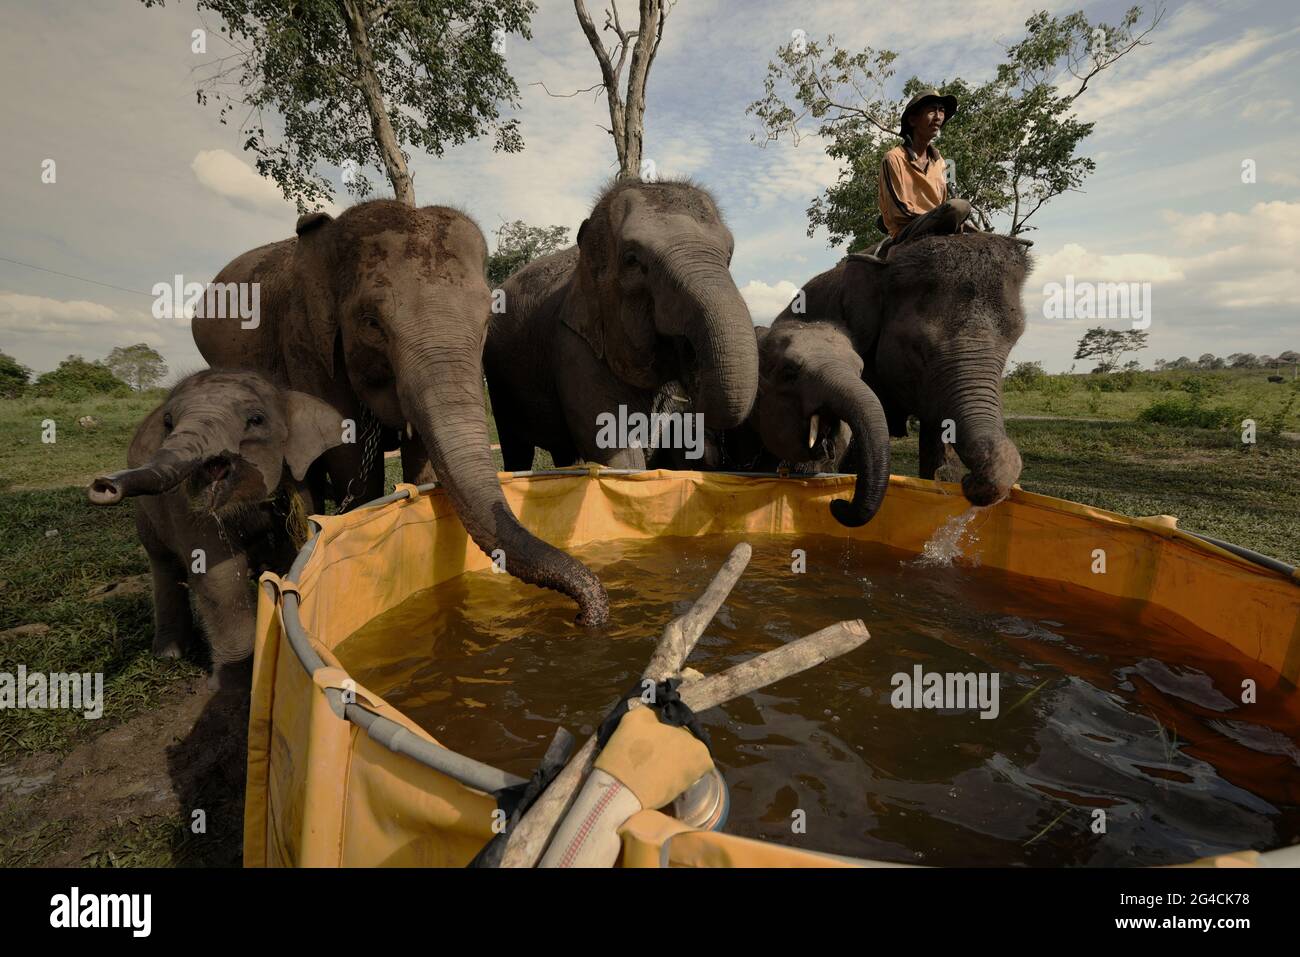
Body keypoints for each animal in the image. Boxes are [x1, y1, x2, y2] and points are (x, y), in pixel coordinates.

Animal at [87, 370, 346, 688]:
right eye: (168, 422)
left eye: (256, 420)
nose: (103, 485)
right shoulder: (185, 505)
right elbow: (218, 574)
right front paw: (235, 681)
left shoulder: (298, 483)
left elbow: (290, 554)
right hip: (146, 514)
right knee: (162, 563)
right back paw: (169, 654)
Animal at [191, 200, 609, 626]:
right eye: (371, 323)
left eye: (487, 321)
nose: (582, 617)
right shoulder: (307, 344)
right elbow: (348, 453)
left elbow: (419, 451)